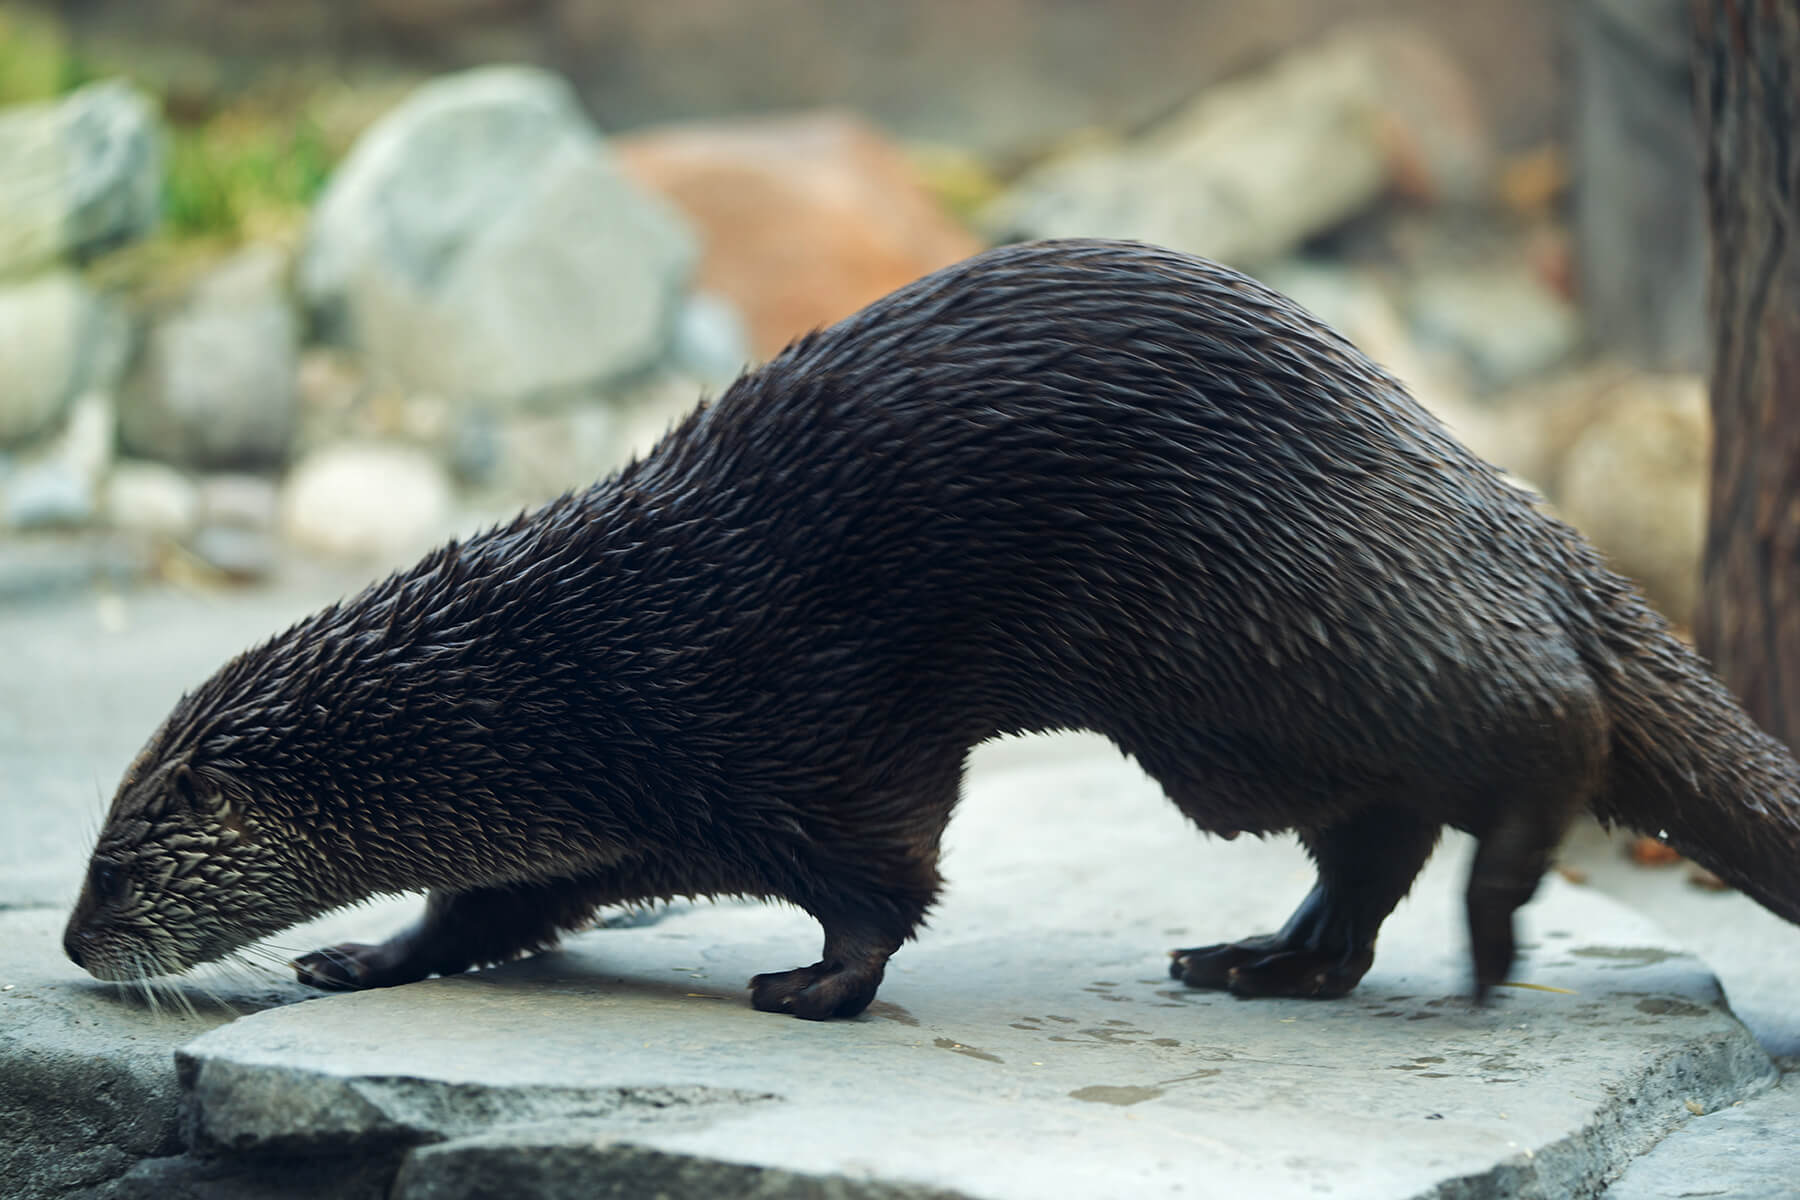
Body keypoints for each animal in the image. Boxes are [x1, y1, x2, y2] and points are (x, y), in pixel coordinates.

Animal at [63, 239, 1800, 1020]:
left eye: (123, 864)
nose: (76, 944)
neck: (553, 688)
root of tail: (1489, 495)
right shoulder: (606, 812)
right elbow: (487, 911)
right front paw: (362, 954)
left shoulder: (798, 733)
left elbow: (885, 887)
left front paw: (812, 989)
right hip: (1256, 714)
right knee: (1378, 832)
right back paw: (1272, 959)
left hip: (1300, 622)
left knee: (1544, 725)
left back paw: (1488, 936)